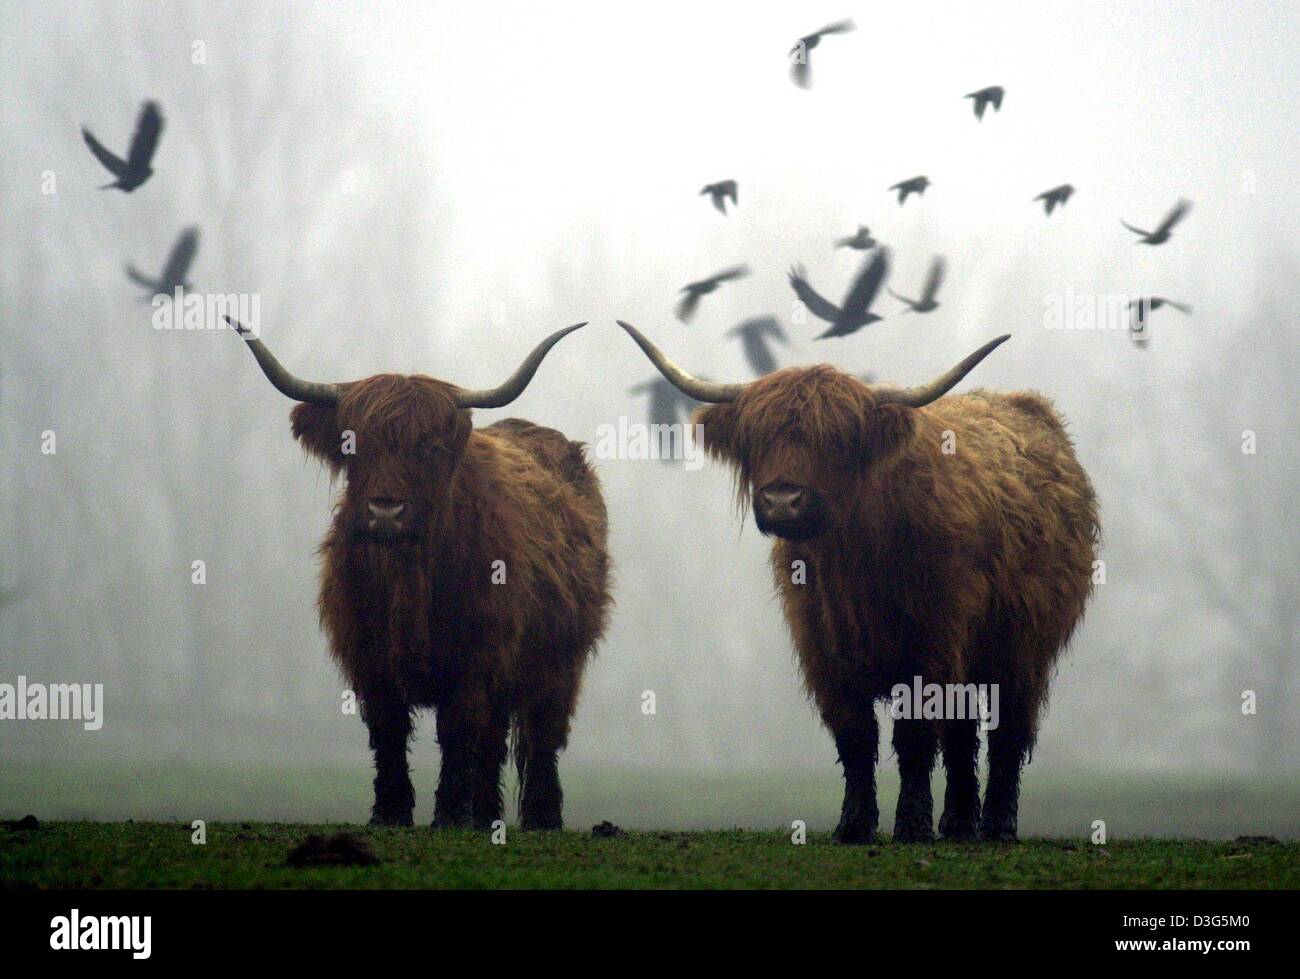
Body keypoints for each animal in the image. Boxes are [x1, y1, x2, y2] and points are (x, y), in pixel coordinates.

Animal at [226, 317, 611, 830]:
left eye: (431, 449)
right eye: (352, 444)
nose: (386, 512)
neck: (406, 576)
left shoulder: (473, 658)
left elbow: (456, 730)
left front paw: (447, 814)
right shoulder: (368, 657)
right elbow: (389, 731)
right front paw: (390, 812)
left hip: (560, 659)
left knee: (542, 731)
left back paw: (540, 818)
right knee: (494, 743)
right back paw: (485, 817)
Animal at [619, 321, 1099, 843]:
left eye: (835, 440)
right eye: (758, 436)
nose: (782, 500)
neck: (852, 561)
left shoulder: (932, 640)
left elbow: (914, 734)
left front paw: (911, 824)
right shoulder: (823, 647)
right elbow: (854, 735)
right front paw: (854, 824)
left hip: (1024, 645)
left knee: (1008, 727)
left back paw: (996, 825)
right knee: (962, 732)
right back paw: (957, 823)